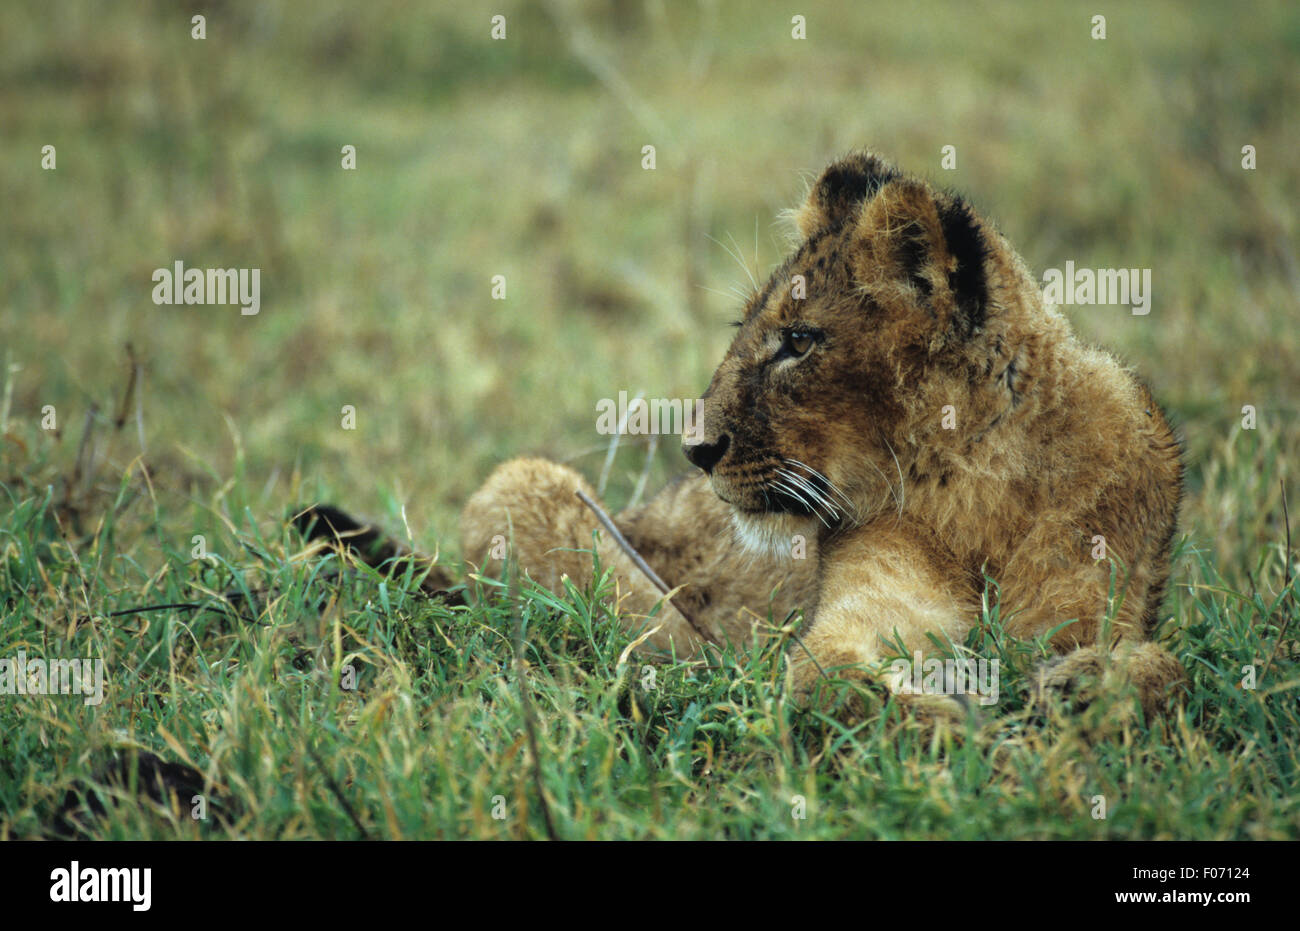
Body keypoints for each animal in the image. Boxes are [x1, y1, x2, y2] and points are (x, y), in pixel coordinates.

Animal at [305, 151, 1185, 718]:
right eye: (749, 331)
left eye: (797, 341)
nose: (695, 450)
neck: (976, 488)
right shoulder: (861, 606)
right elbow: (831, 681)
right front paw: (963, 716)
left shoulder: (1098, 599)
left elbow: (1163, 664)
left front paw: (1082, 688)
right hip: (526, 482)